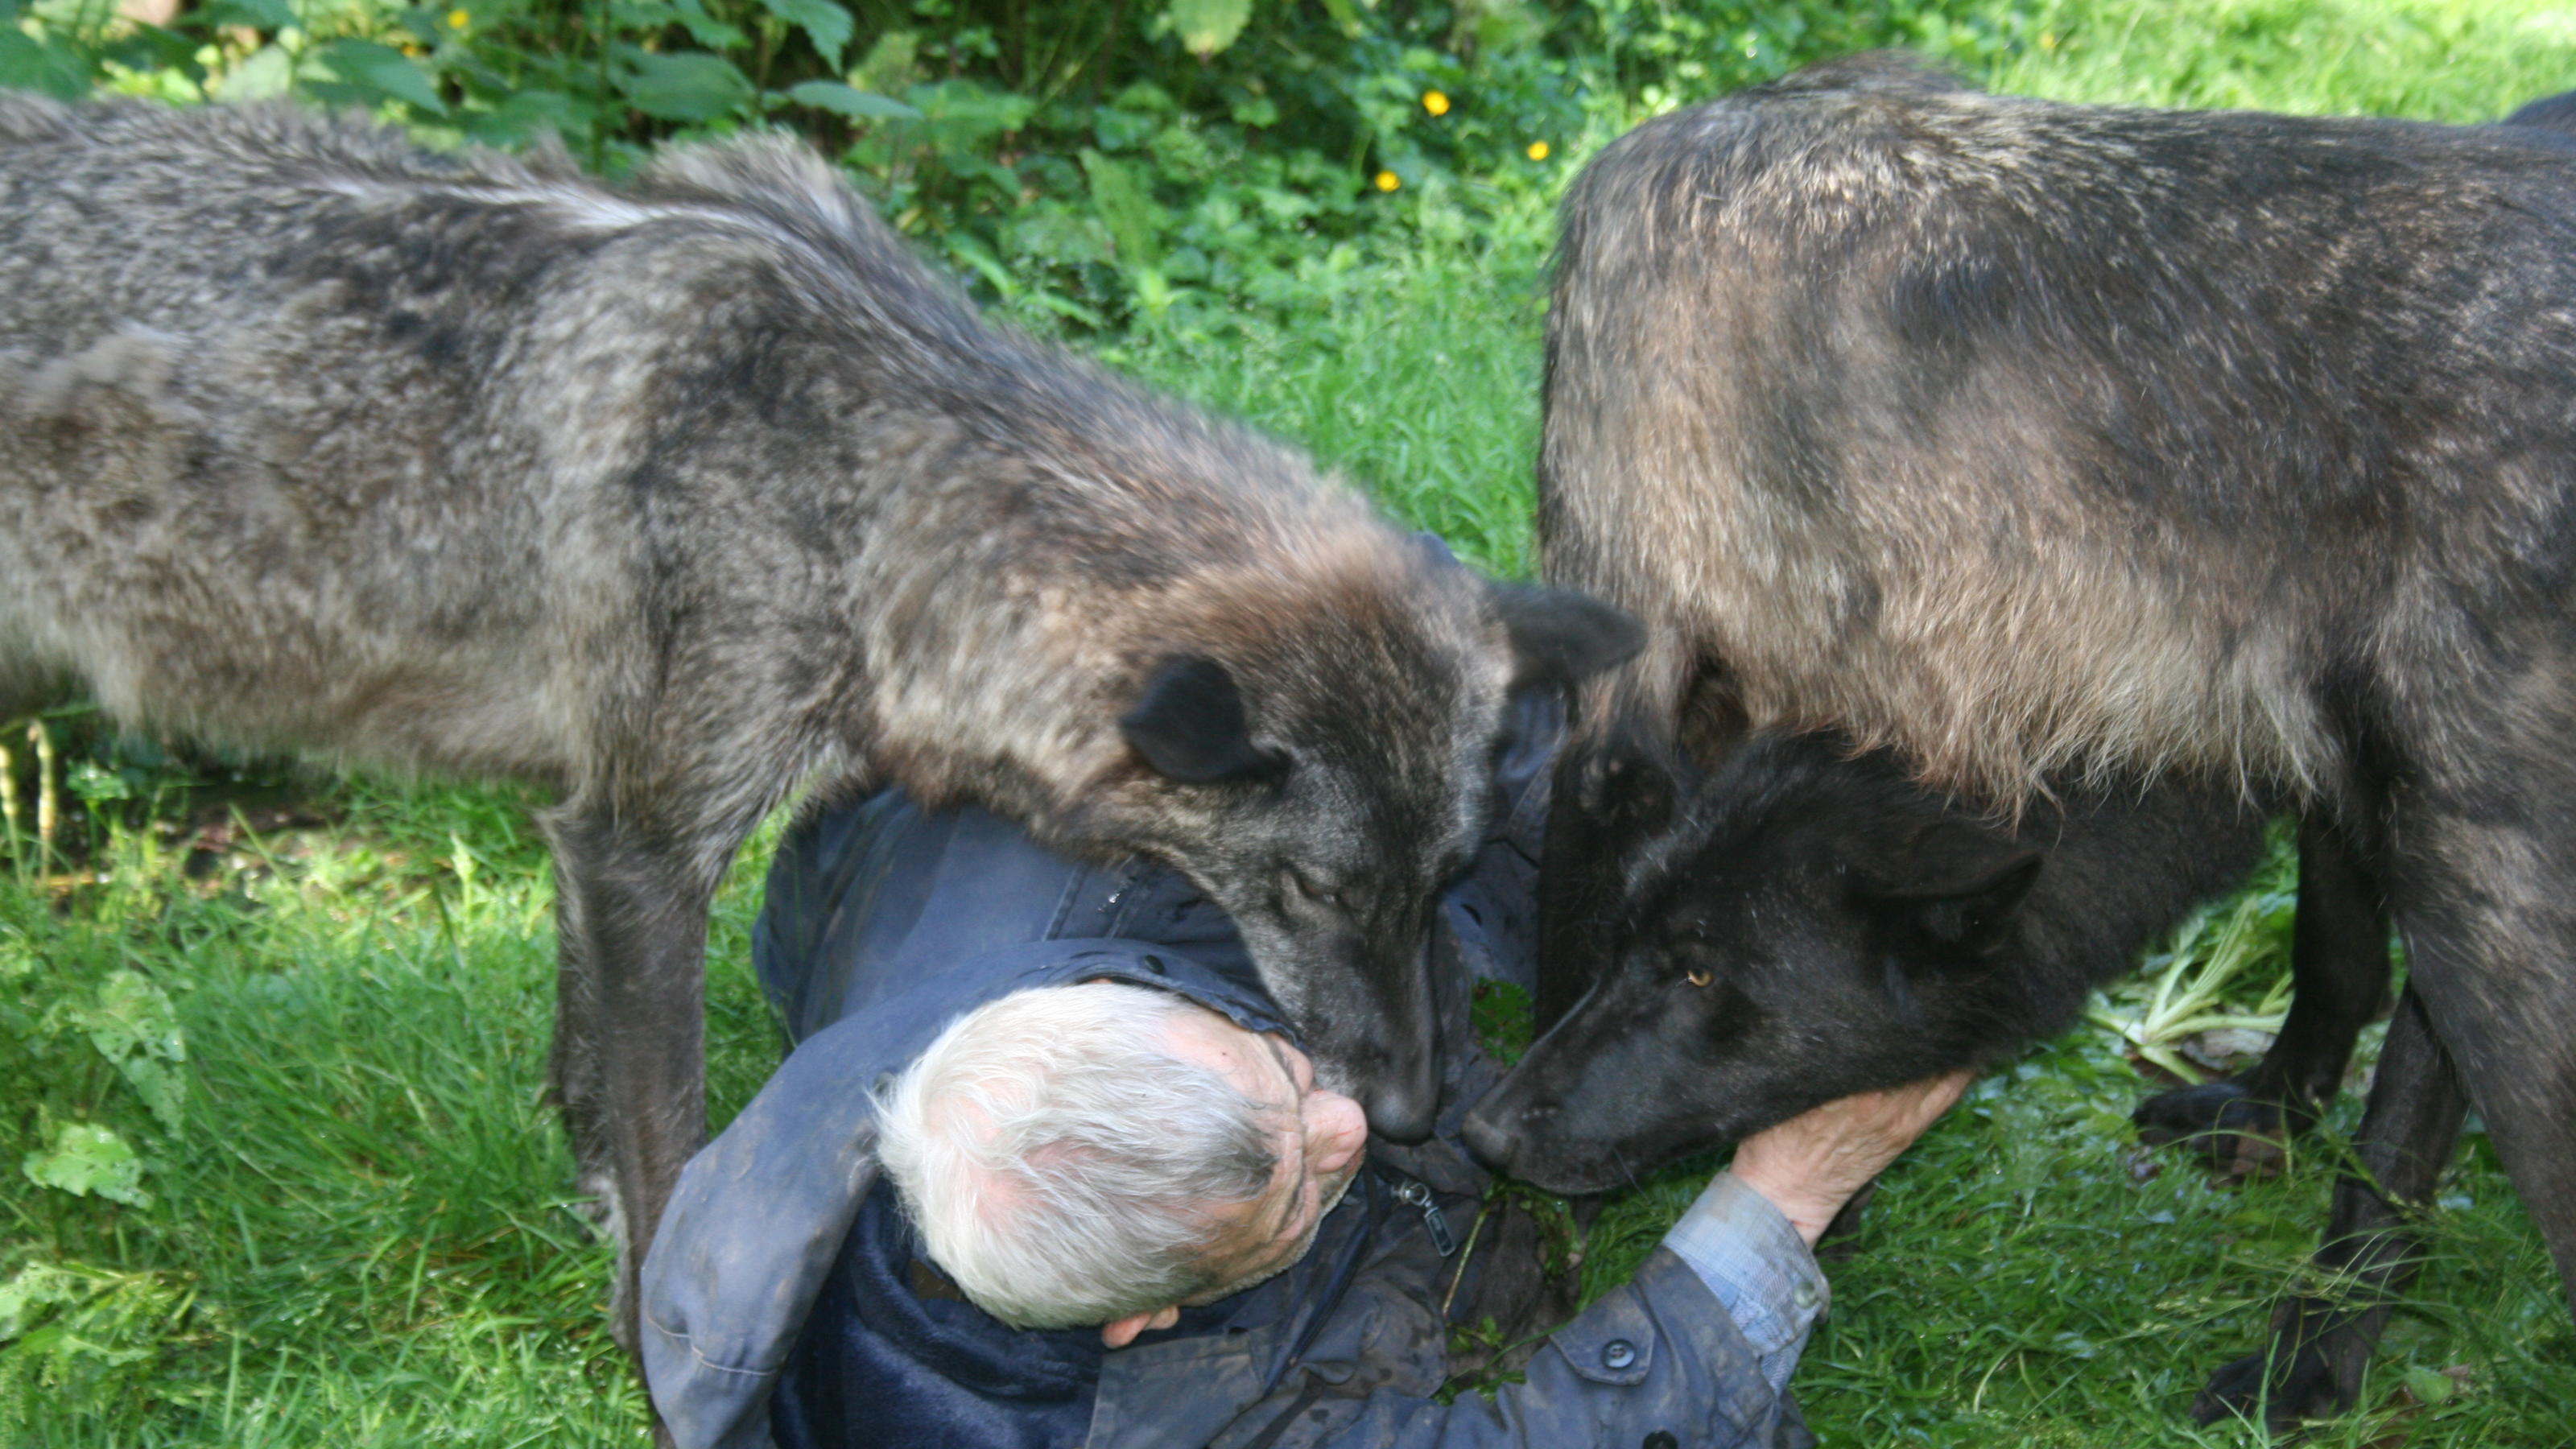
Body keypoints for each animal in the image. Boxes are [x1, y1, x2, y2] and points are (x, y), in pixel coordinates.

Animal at [0, 93, 1640, 1355]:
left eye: (1443, 883)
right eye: (1308, 889)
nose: (1416, 1109)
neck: (853, 484)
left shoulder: (593, 835)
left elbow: (581, 1080)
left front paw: (581, 1207)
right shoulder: (644, 846)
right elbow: (662, 1134)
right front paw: (647, 1335)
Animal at [1525, 54, 2576, 1428]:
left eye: (1702, 975)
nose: (1488, 1132)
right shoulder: (2338, 791)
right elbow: (2341, 970)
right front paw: (2278, 1126)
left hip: (2499, 947)